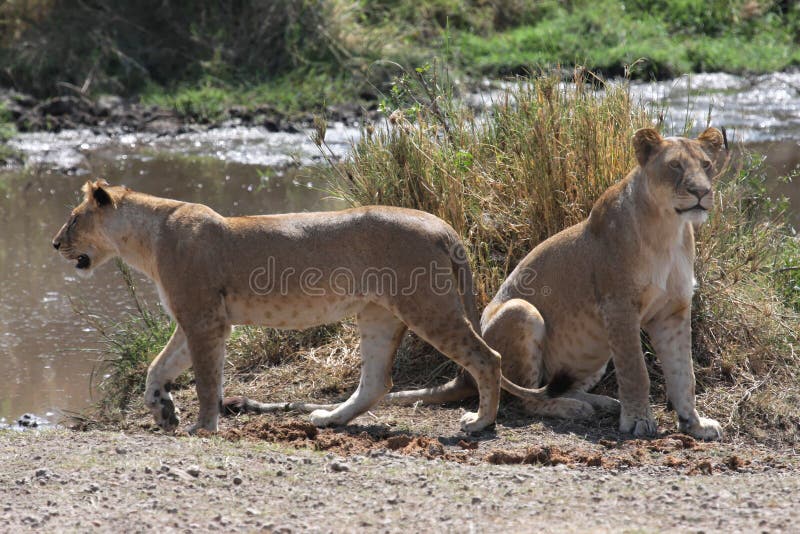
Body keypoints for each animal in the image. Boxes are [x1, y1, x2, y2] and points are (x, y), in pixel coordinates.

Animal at [52, 181, 551, 434]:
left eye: (73, 219)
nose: (55, 243)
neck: (144, 240)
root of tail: (443, 226)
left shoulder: (205, 320)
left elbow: (206, 378)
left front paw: (202, 426)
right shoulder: (192, 319)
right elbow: (158, 367)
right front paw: (162, 410)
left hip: (428, 307)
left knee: (487, 358)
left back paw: (480, 422)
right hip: (378, 314)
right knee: (377, 381)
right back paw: (330, 418)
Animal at [386, 128, 726, 440]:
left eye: (706, 164)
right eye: (675, 166)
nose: (701, 191)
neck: (669, 228)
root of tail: (461, 377)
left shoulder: (673, 310)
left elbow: (684, 374)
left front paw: (694, 423)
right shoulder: (619, 306)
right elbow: (635, 371)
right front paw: (639, 422)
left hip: (595, 348)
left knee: (559, 386)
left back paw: (600, 402)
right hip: (522, 310)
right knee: (526, 399)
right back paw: (574, 409)